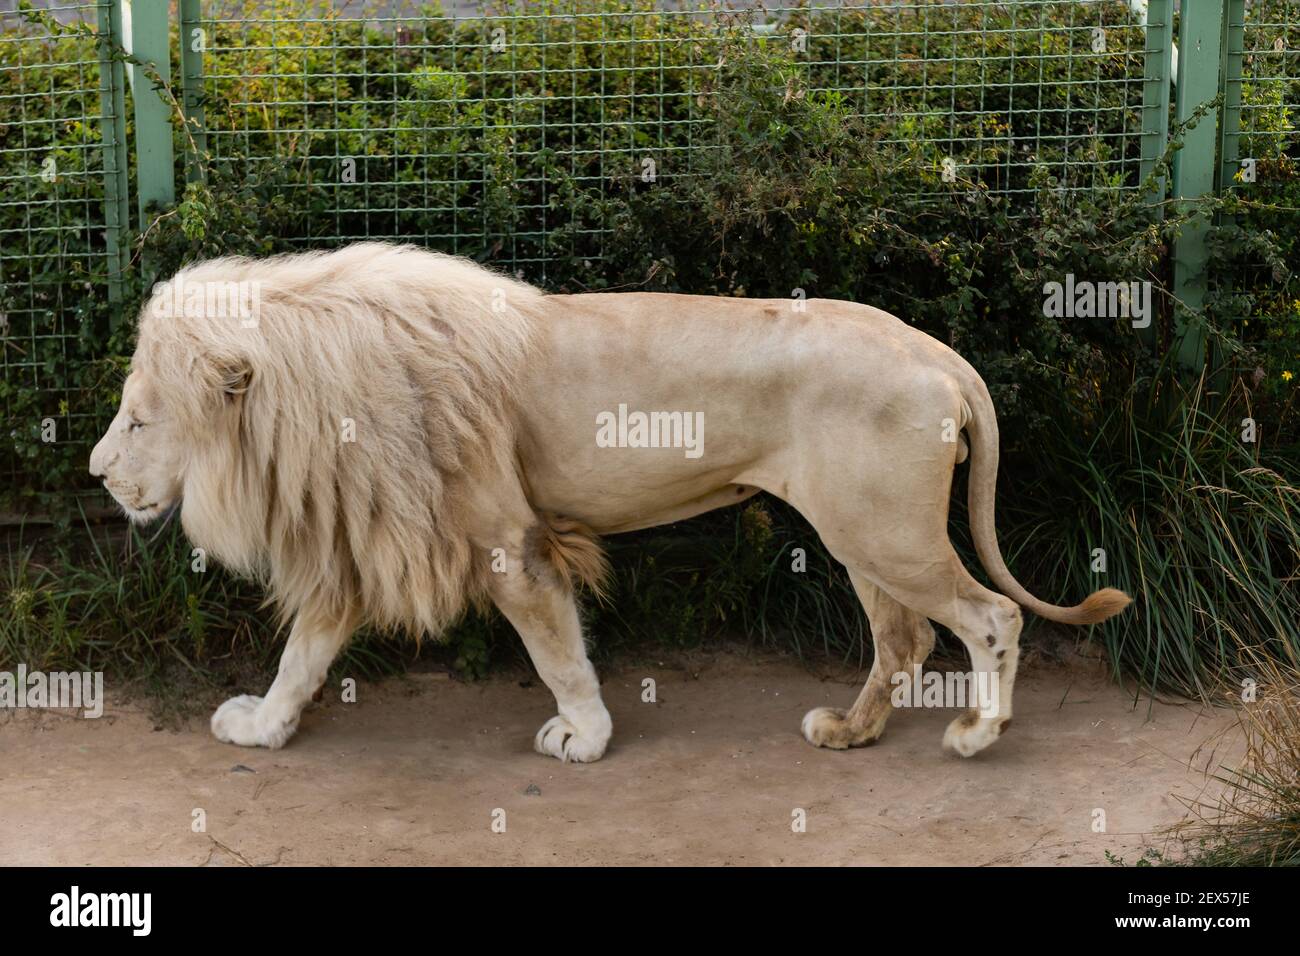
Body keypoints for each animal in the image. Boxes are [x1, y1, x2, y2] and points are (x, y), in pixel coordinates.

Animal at [90, 242, 1130, 761]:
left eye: (138, 420)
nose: (97, 470)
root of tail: (938, 351)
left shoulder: (502, 538)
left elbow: (557, 650)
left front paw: (583, 737)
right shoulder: (371, 528)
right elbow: (302, 657)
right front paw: (264, 729)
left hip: (887, 528)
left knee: (990, 616)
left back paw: (978, 733)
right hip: (859, 532)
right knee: (906, 638)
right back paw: (850, 732)